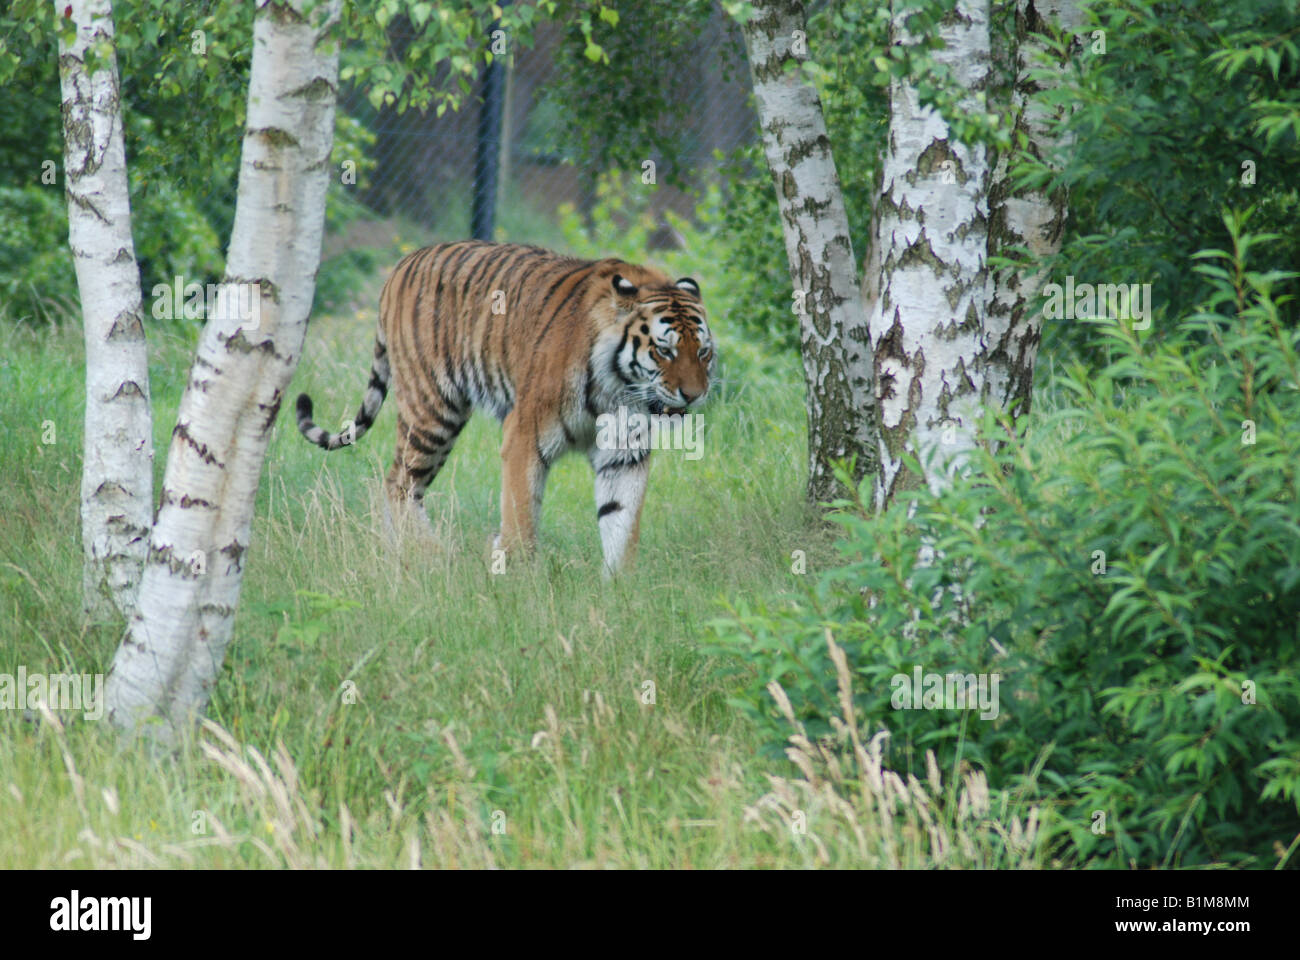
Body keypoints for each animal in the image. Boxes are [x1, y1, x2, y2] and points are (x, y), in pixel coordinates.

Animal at [295, 240, 715, 574]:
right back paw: (431, 554)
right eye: (664, 350)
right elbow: (521, 519)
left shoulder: (624, 454)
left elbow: (621, 524)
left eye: (703, 352)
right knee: (400, 483)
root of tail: (402, 263)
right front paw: (518, 580)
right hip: (432, 410)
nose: (694, 394)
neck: (617, 388)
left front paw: (619, 591)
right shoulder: (524, 435)